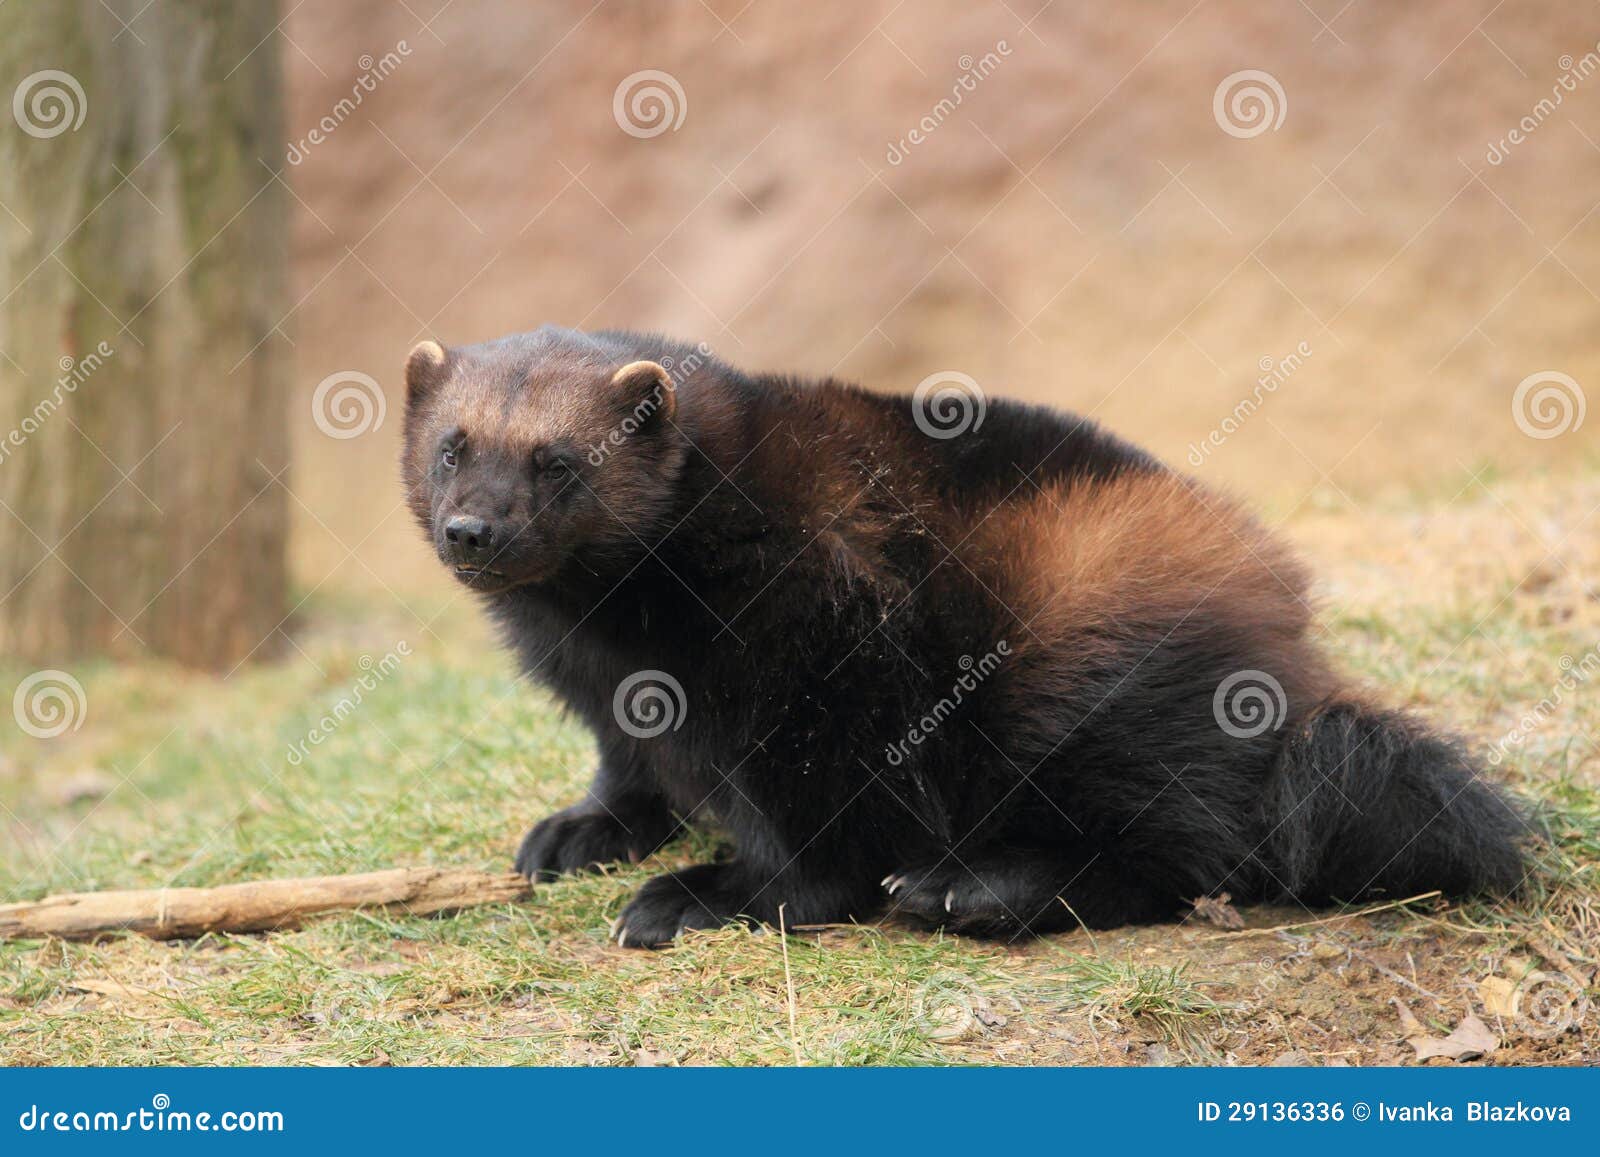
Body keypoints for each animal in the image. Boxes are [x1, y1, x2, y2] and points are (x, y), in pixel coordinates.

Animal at [400, 325, 1527, 947]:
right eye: (451, 445)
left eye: (557, 461)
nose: (473, 528)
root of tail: (1291, 662)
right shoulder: (614, 682)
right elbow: (627, 758)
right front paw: (586, 828)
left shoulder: (822, 640)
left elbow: (813, 816)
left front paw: (715, 893)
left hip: (1075, 669)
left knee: (1183, 845)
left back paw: (978, 886)